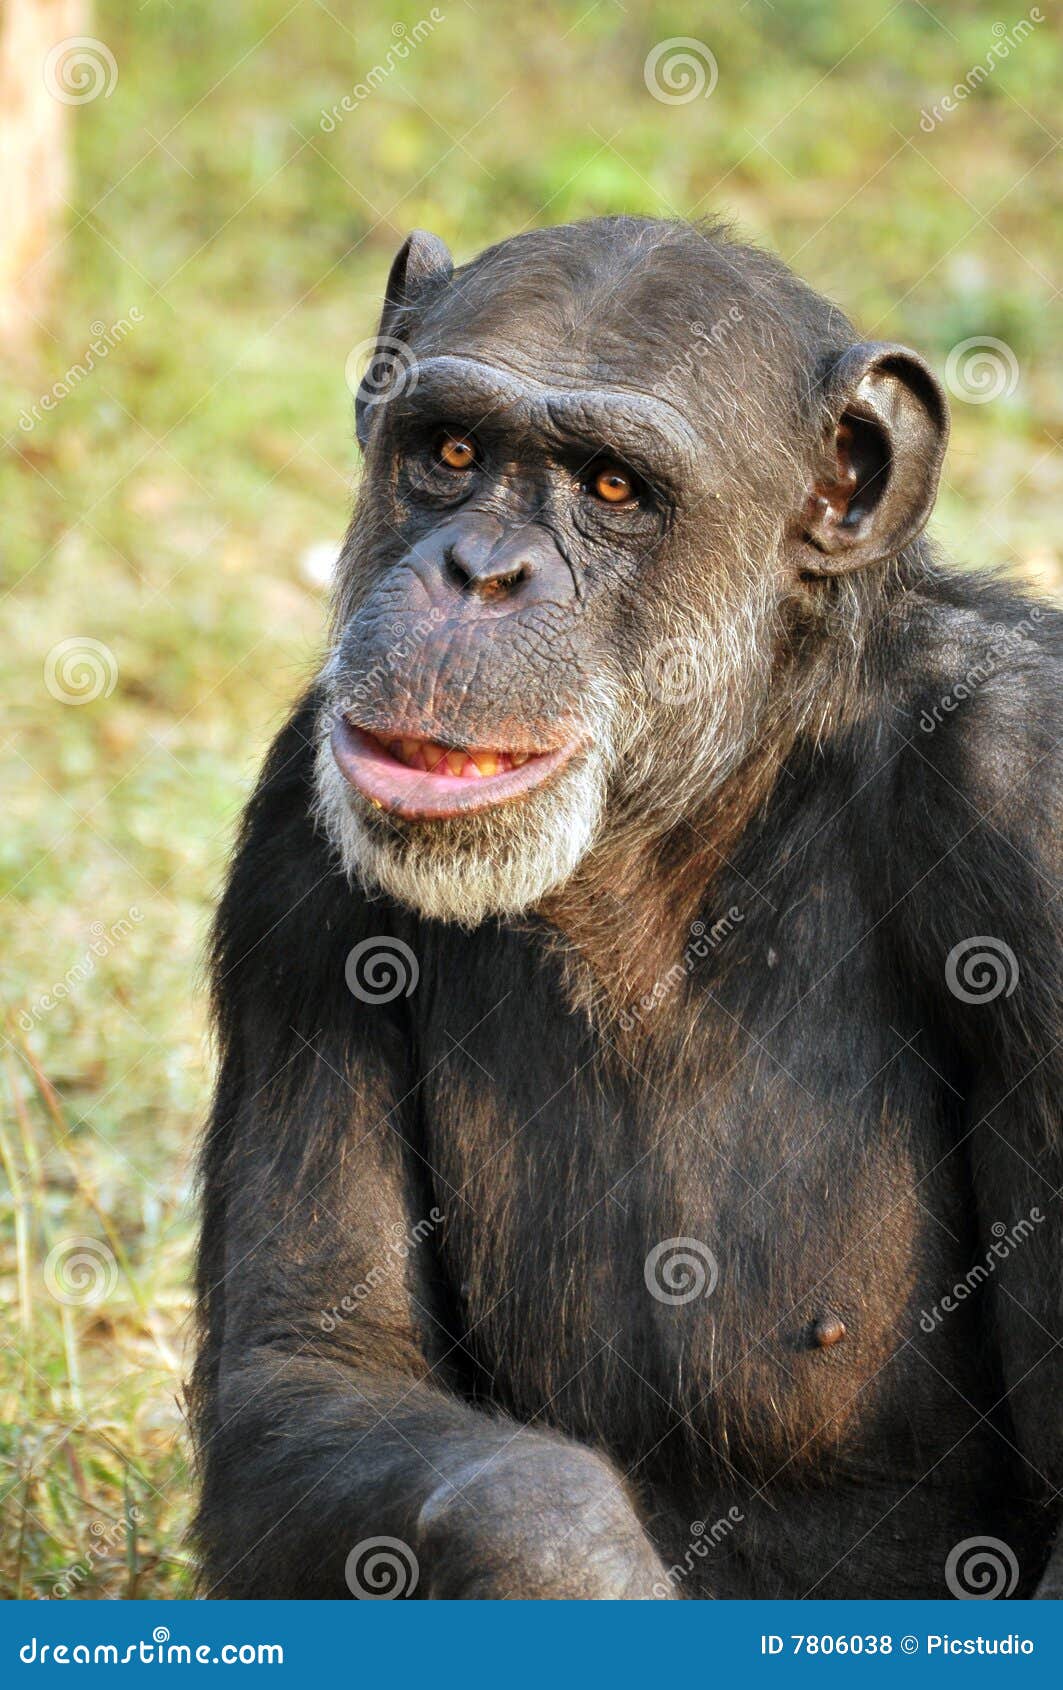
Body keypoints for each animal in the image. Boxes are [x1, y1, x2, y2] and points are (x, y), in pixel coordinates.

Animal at [192, 216, 1061, 1599]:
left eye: (611, 490)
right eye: (450, 452)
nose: (480, 572)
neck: (681, 816)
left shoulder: (1028, 799)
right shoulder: (295, 861)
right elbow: (313, 1365)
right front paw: (570, 1565)